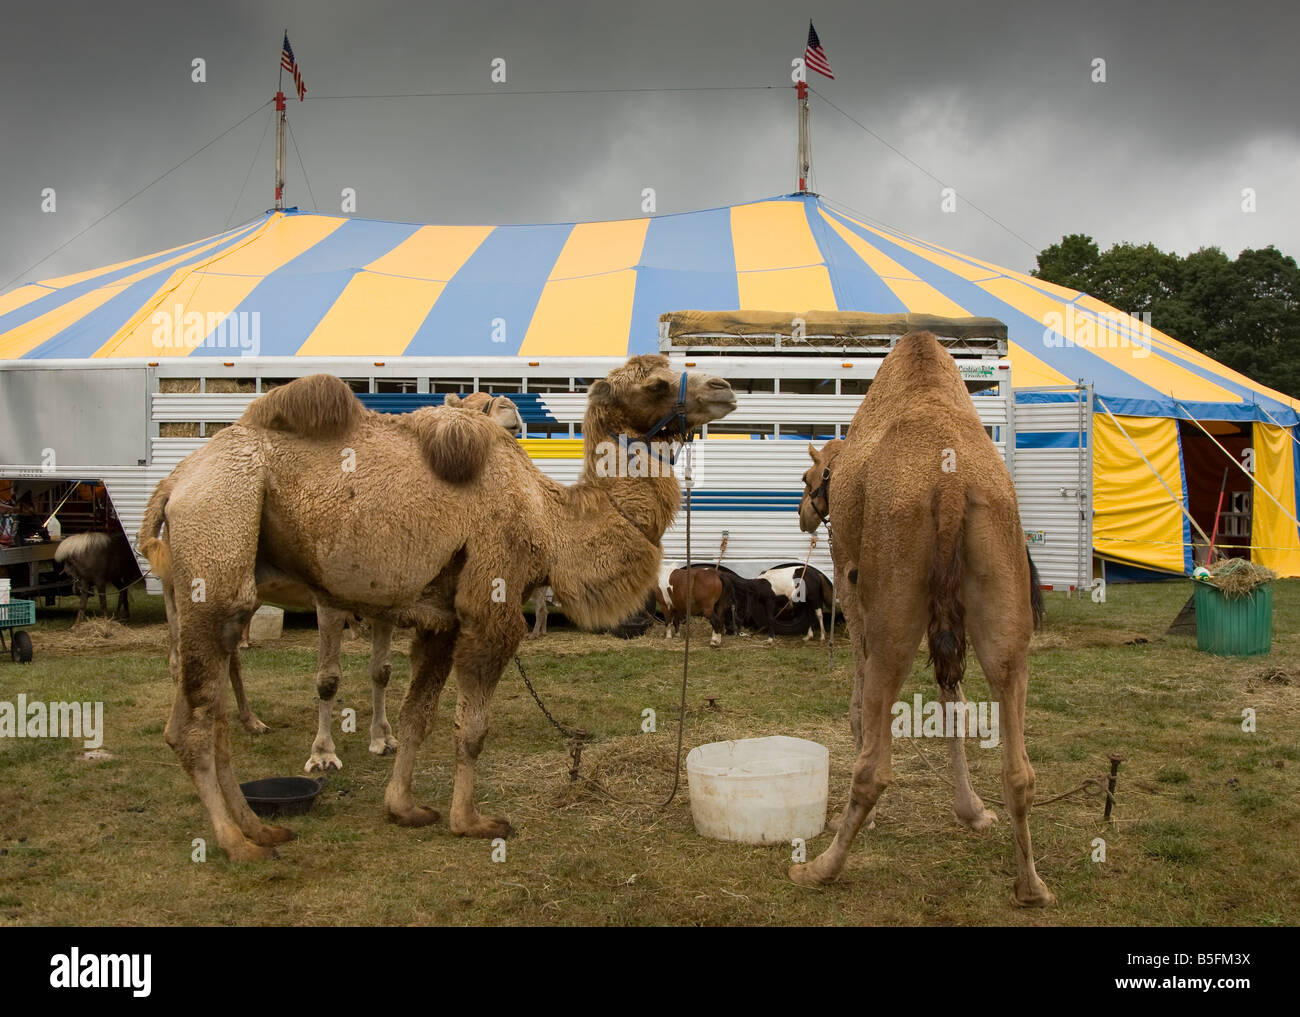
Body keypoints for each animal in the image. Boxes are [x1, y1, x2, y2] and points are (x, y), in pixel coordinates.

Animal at [138, 354, 735, 860]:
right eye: (655, 384)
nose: (725, 387)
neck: (550, 517)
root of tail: (174, 481)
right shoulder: (491, 608)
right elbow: (472, 728)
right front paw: (471, 821)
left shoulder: (442, 621)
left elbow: (416, 715)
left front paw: (403, 806)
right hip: (221, 534)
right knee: (192, 724)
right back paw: (236, 843)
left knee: (207, 714)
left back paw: (261, 827)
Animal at [786, 331, 1055, 907]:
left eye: (807, 477)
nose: (802, 513)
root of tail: (950, 485)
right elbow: (954, 704)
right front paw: (971, 812)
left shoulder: (852, 580)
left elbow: (859, 696)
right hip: (1002, 591)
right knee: (1018, 763)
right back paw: (1031, 886)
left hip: (894, 595)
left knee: (875, 762)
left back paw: (820, 867)